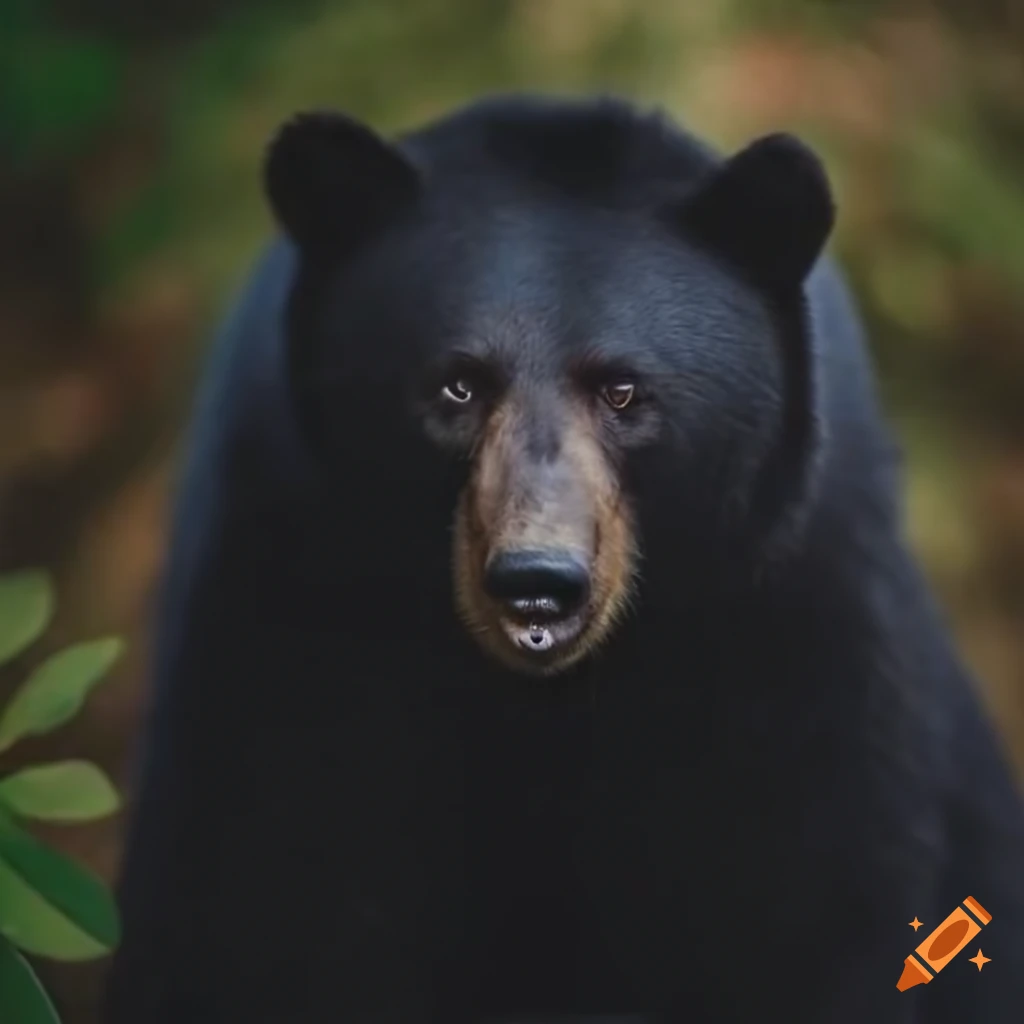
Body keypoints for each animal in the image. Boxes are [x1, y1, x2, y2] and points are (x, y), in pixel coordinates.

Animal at [103, 93, 1024, 1024]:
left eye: (624, 391)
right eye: (458, 385)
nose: (536, 583)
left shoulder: (793, 633)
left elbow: (804, 911)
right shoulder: (290, 605)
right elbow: (279, 904)